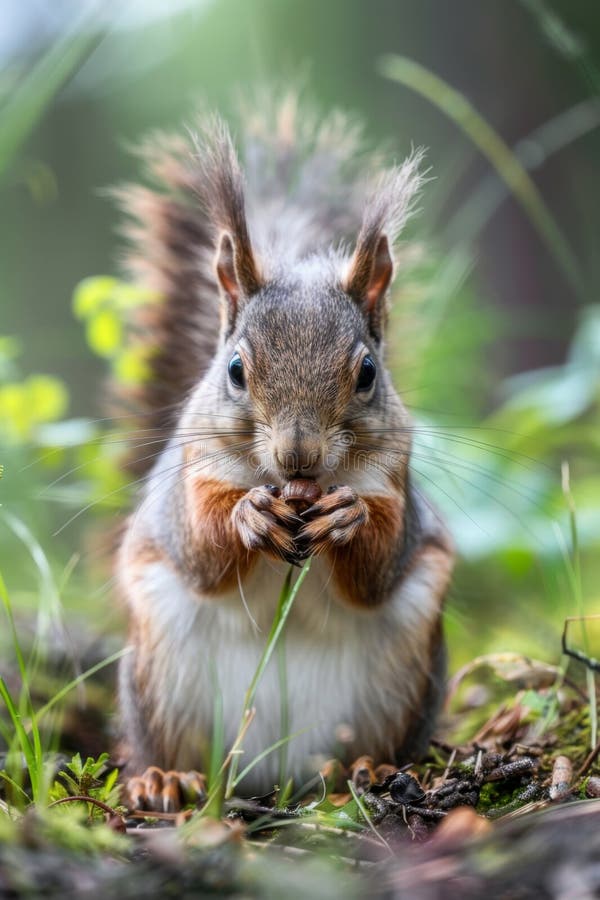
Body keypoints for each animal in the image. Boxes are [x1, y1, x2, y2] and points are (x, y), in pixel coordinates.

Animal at [113, 94, 454, 810]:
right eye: (235, 369)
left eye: (367, 372)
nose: (299, 456)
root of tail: (274, 773)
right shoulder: (190, 480)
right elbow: (201, 551)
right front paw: (247, 516)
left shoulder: (396, 481)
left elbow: (379, 568)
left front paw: (348, 517)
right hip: (161, 678)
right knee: (174, 751)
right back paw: (167, 779)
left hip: (404, 676)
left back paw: (369, 768)